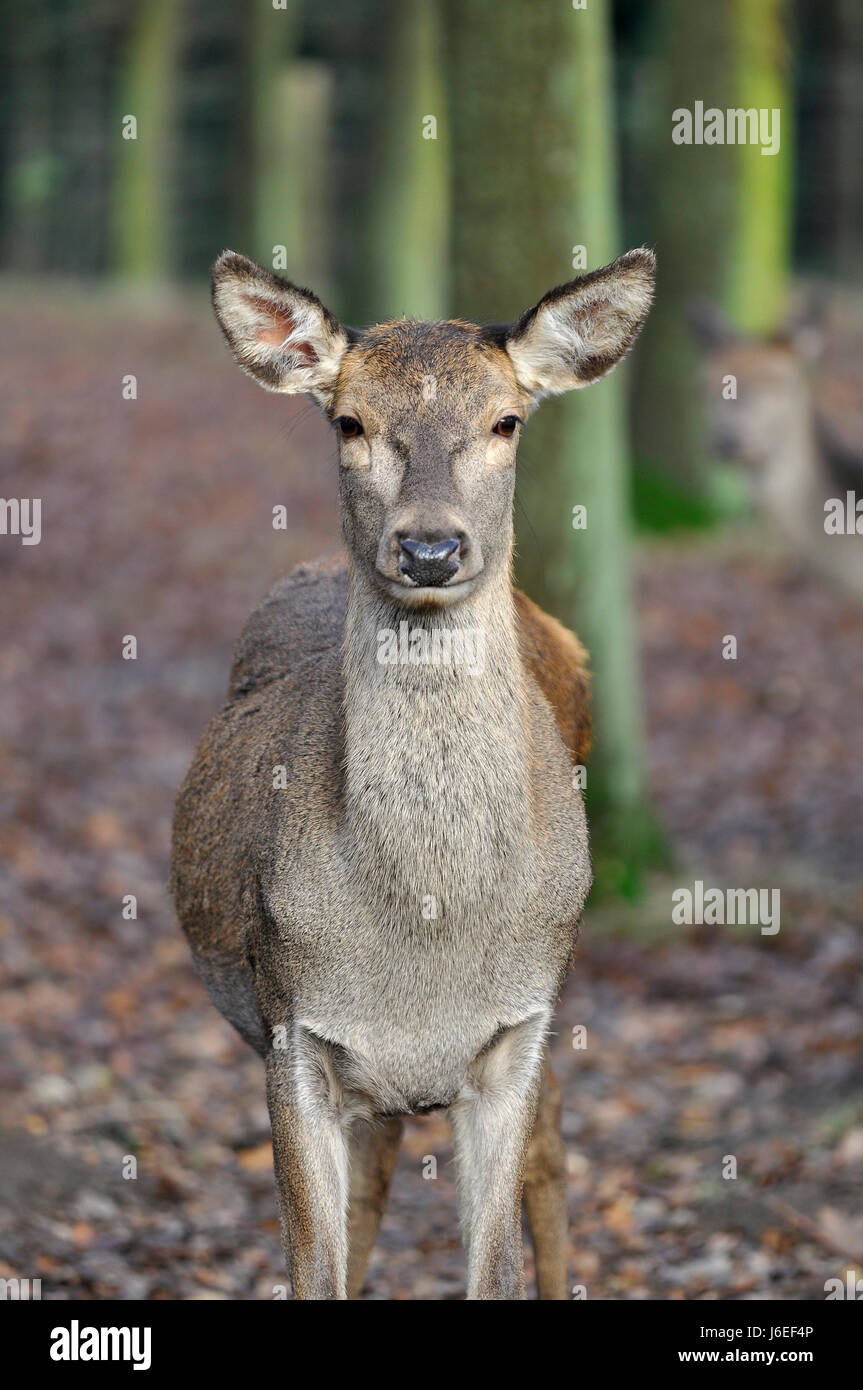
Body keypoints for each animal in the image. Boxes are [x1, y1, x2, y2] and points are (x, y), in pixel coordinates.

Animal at [170, 245, 655, 1300]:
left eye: (506, 420)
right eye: (347, 421)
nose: (429, 547)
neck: (421, 933)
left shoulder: (518, 1025)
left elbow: (495, 1268)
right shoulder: (293, 1025)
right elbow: (313, 1264)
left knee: (552, 1142)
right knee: (378, 1177)